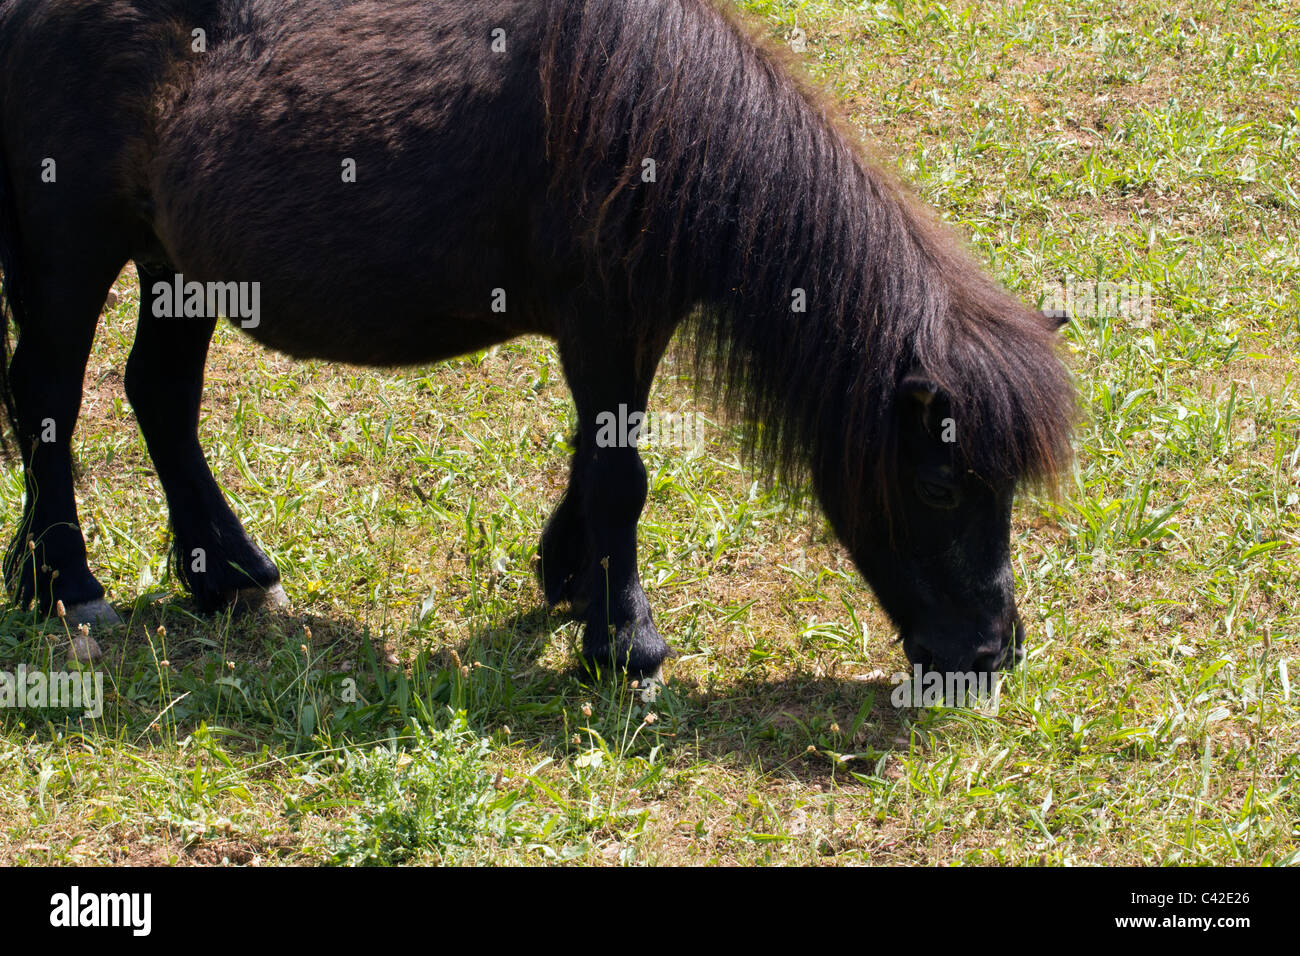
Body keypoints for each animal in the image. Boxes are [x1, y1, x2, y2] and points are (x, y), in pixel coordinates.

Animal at [0, 0, 1074, 681]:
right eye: (941, 487)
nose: (993, 653)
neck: (660, 126)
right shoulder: (602, 321)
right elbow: (622, 473)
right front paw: (625, 641)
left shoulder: (629, 328)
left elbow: (598, 456)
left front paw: (571, 580)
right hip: (70, 256)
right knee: (48, 402)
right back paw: (70, 587)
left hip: (178, 266)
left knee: (160, 396)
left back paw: (223, 573)